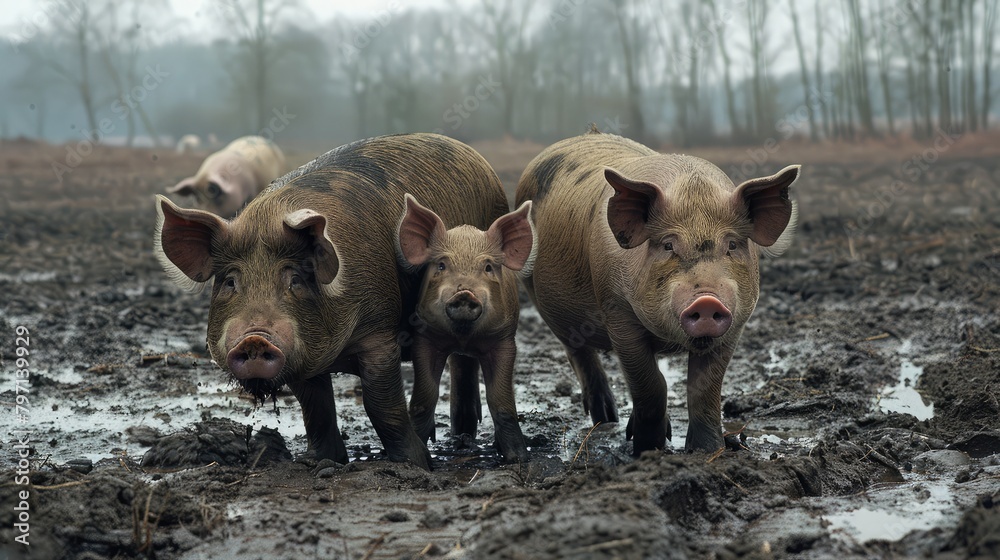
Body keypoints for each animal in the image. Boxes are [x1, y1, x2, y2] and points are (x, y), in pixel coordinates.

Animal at [154, 133, 510, 470]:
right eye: (230, 282)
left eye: (295, 280)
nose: (254, 339)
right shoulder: (300, 356)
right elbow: (316, 405)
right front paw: (320, 461)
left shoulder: (380, 333)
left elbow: (381, 404)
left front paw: (414, 463)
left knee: (462, 362)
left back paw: (463, 435)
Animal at [396, 194, 534, 463]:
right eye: (441, 265)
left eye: (488, 267)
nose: (464, 293)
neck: (464, 336)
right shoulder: (426, 338)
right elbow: (424, 398)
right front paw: (423, 455)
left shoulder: (504, 339)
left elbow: (501, 401)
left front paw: (517, 457)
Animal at [516, 129, 800, 455]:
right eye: (667, 245)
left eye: (732, 245)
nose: (706, 300)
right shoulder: (617, 311)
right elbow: (650, 384)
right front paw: (648, 451)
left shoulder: (736, 324)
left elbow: (705, 389)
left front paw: (708, 451)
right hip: (544, 303)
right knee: (579, 353)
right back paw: (606, 418)